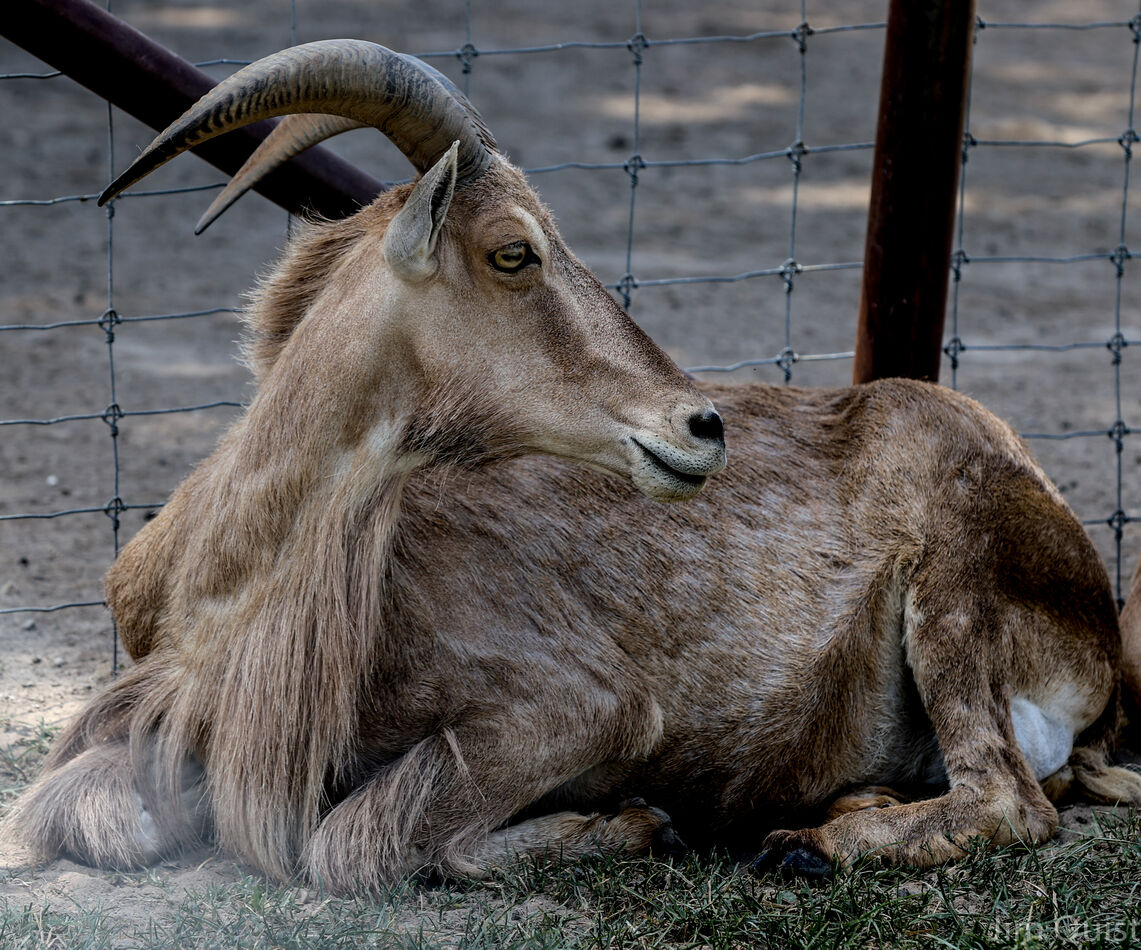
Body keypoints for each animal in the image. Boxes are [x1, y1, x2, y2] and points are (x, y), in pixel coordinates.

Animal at [10, 40, 1141, 895]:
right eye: (515, 251)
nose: (702, 426)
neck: (238, 598)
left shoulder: (572, 711)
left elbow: (354, 839)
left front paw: (638, 822)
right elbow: (100, 816)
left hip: (954, 599)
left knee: (1007, 798)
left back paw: (807, 841)